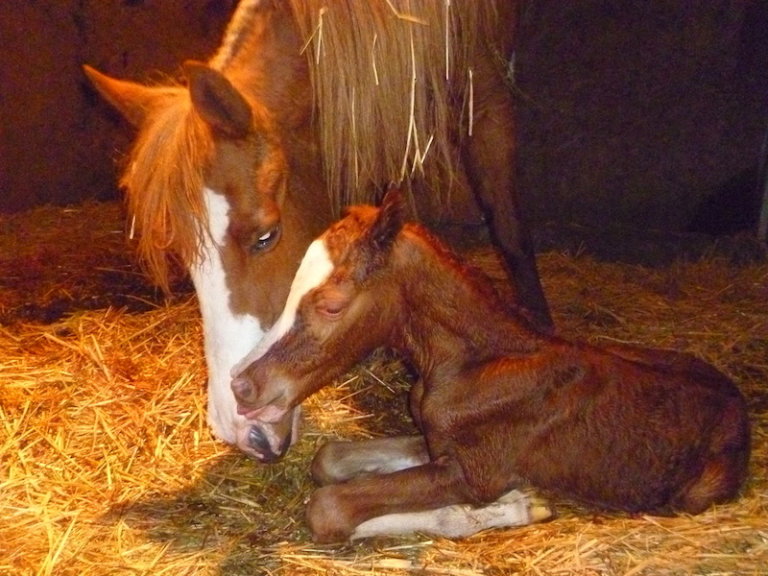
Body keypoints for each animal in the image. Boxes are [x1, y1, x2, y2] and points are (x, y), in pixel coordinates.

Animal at [231, 190, 751, 542]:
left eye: (332, 306)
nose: (242, 386)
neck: (473, 365)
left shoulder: (476, 471)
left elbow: (330, 511)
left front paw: (520, 506)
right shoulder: (437, 442)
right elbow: (331, 460)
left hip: (695, 496)